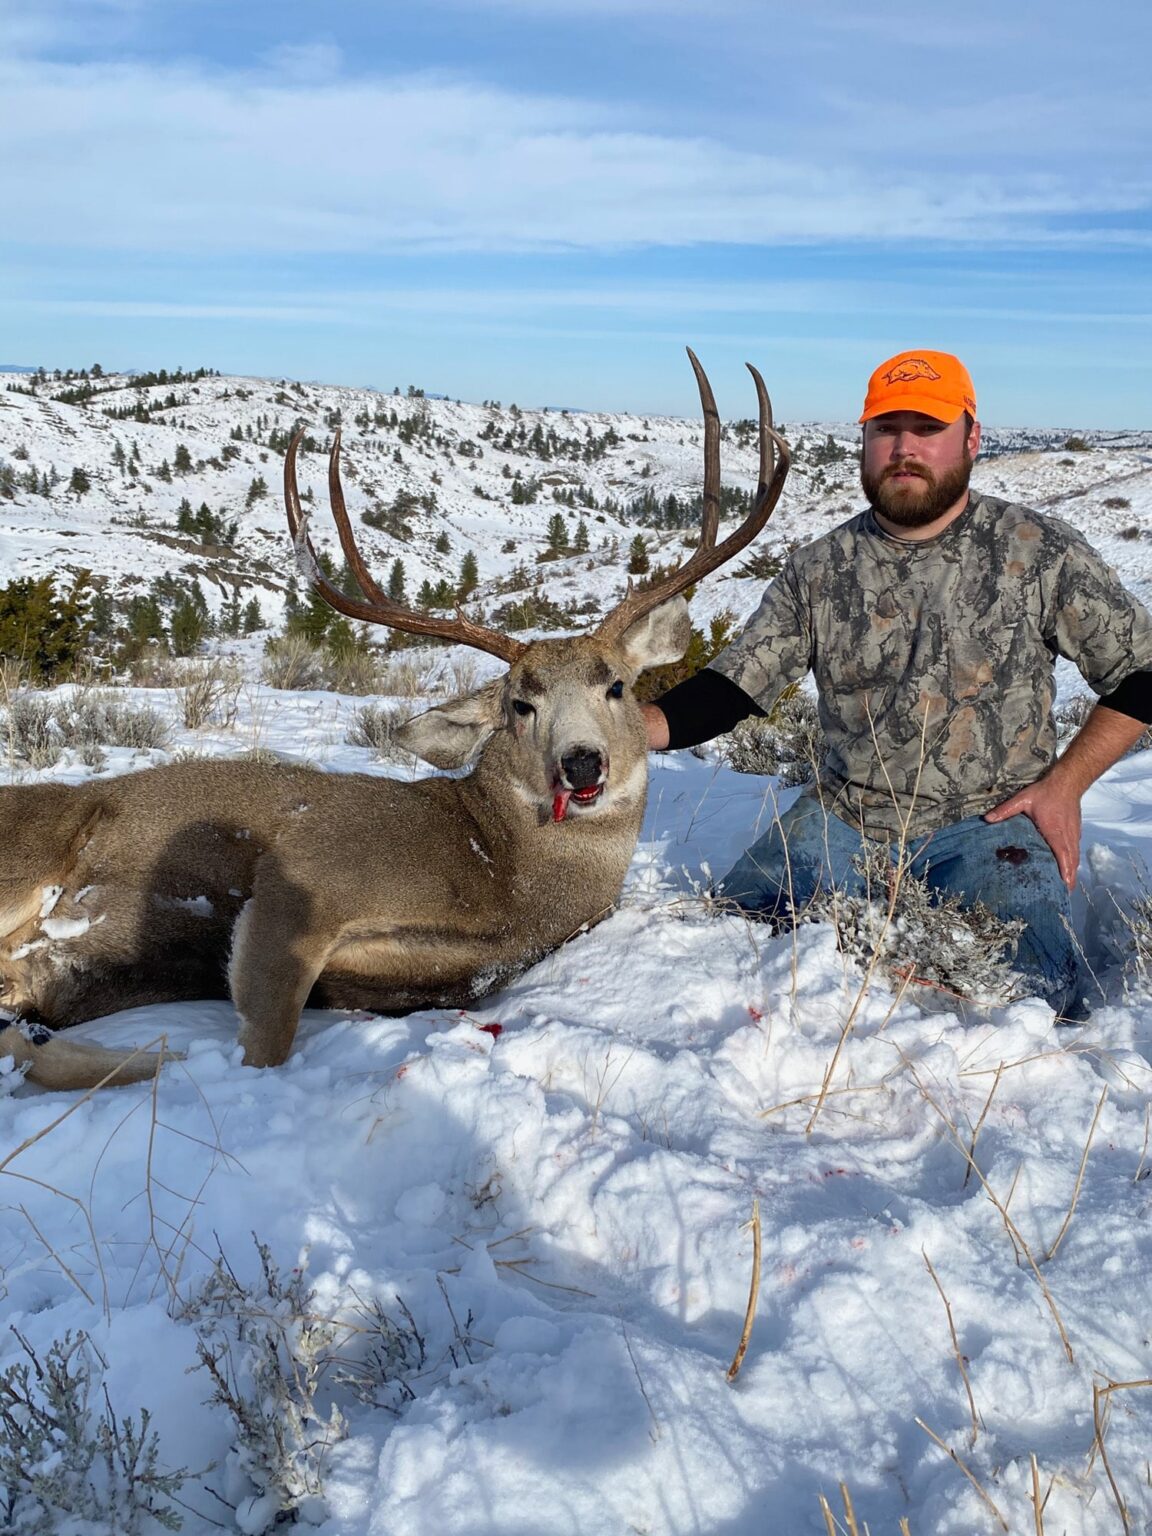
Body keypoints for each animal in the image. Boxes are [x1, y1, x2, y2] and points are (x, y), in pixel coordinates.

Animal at [0, 352, 789, 1091]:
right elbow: (264, 1050)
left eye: (617, 686)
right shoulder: (306, 874)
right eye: (520, 704)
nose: (581, 762)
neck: (503, 880)